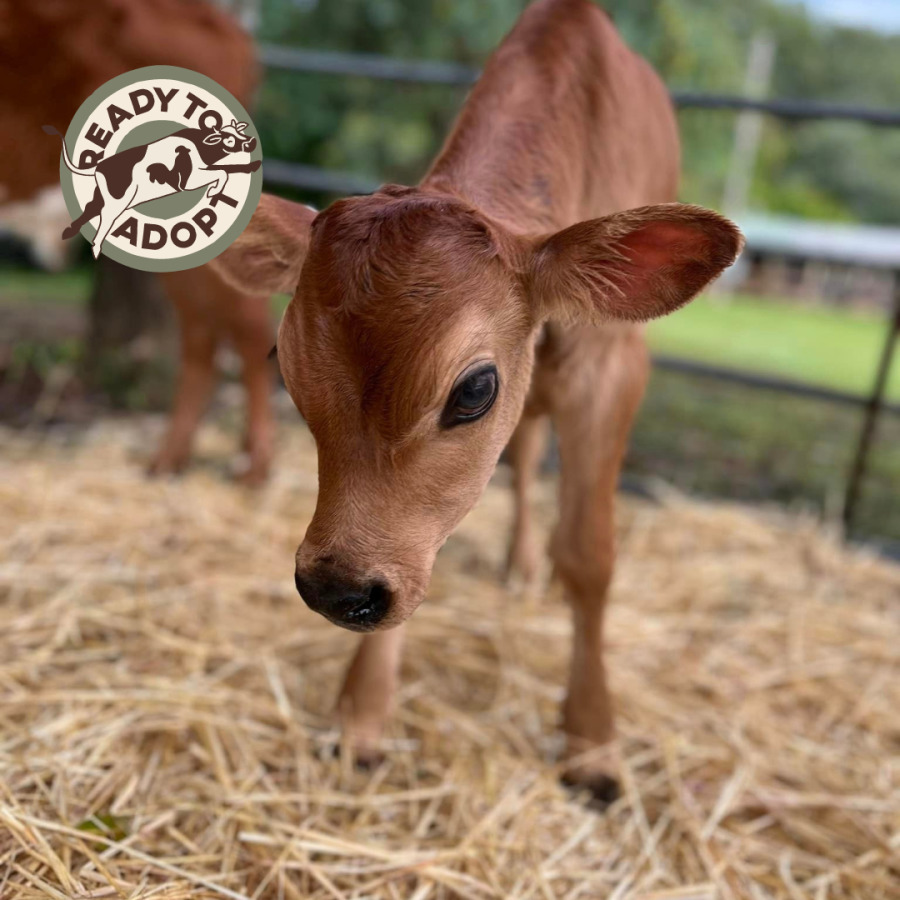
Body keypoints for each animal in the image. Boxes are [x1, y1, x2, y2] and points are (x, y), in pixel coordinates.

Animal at [46, 120, 261, 257]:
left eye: (240, 132)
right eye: (229, 139)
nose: (251, 142)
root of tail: (98, 166)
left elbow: (228, 168)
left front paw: (253, 165)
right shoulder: (187, 181)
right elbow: (223, 172)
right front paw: (213, 191)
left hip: (106, 196)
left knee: (91, 208)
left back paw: (68, 233)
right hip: (117, 201)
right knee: (104, 218)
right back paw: (96, 249)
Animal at [211, 0, 743, 802]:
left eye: (473, 390)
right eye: (285, 364)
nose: (335, 590)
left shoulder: (613, 372)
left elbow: (589, 556)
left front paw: (593, 742)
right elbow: (420, 548)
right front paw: (361, 716)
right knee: (522, 462)